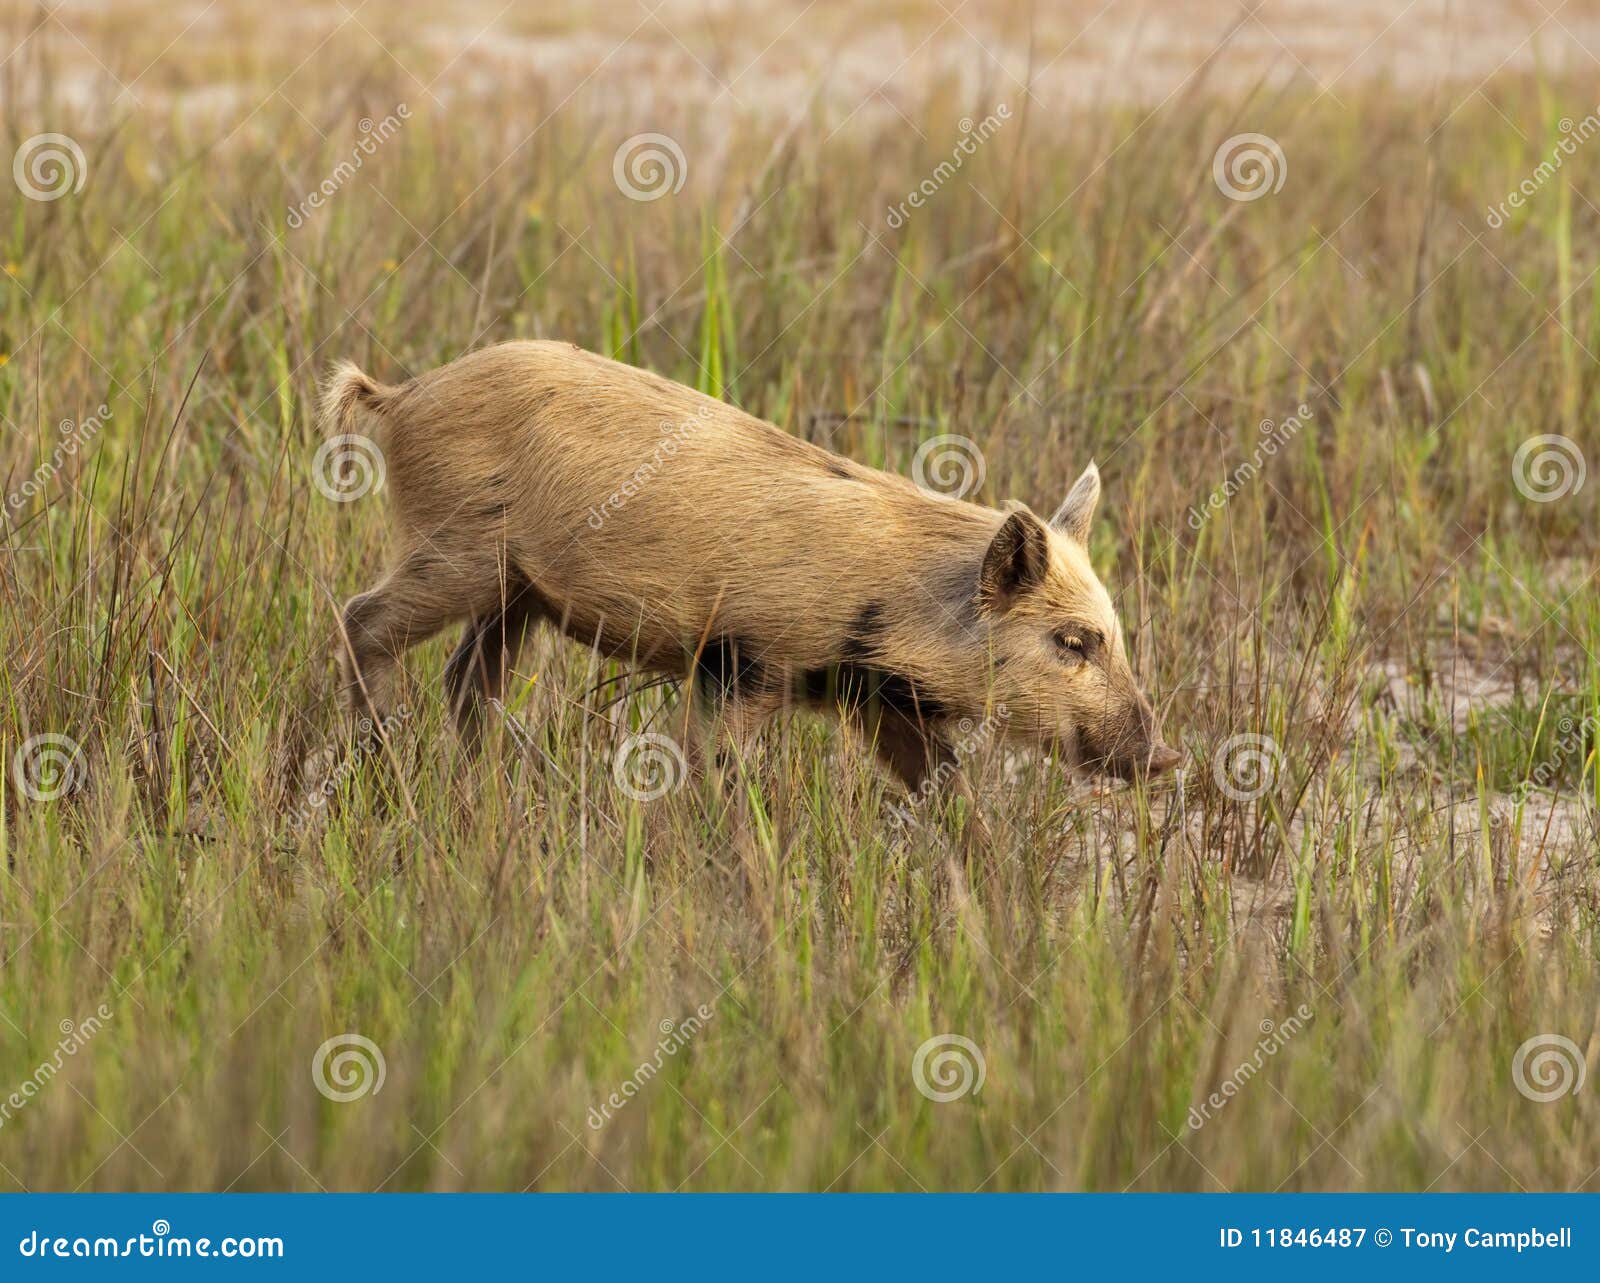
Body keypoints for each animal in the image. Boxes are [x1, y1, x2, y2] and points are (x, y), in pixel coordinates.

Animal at [323, 341, 1180, 793]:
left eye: (1114, 635)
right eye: (1074, 641)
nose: (1168, 756)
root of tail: (401, 394)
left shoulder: (878, 698)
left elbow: (945, 786)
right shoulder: (744, 659)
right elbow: (713, 761)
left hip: (517, 593)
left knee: (468, 679)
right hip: (457, 551)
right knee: (362, 619)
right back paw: (383, 756)